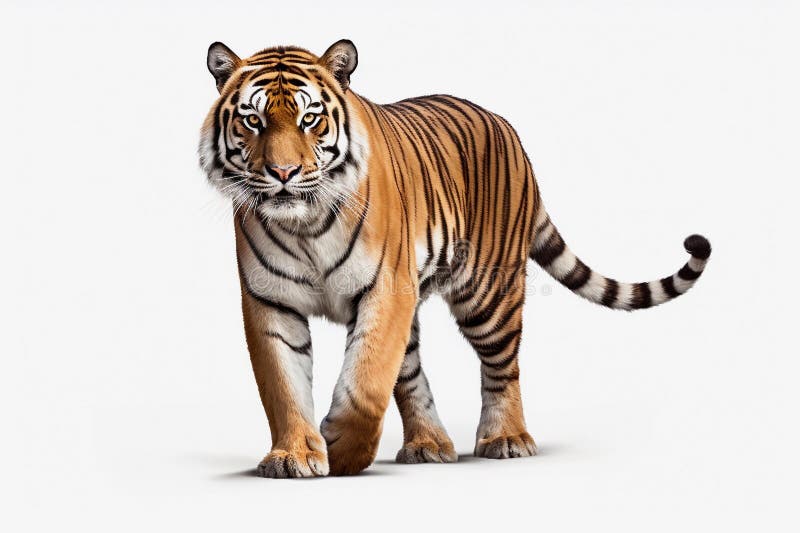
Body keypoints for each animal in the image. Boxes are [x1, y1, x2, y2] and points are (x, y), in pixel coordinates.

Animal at [198, 39, 711, 478]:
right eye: (253, 122)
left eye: (309, 120)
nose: (283, 172)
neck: (304, 224)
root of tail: (505, 126)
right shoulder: (270, 302)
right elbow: (282, 386)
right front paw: (294, 456)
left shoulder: (385, 291)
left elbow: (366, 382)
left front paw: (343, 452)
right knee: (410, 374)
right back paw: (429, 446)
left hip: (488, 294)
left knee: (503, 366)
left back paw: (506, 439)